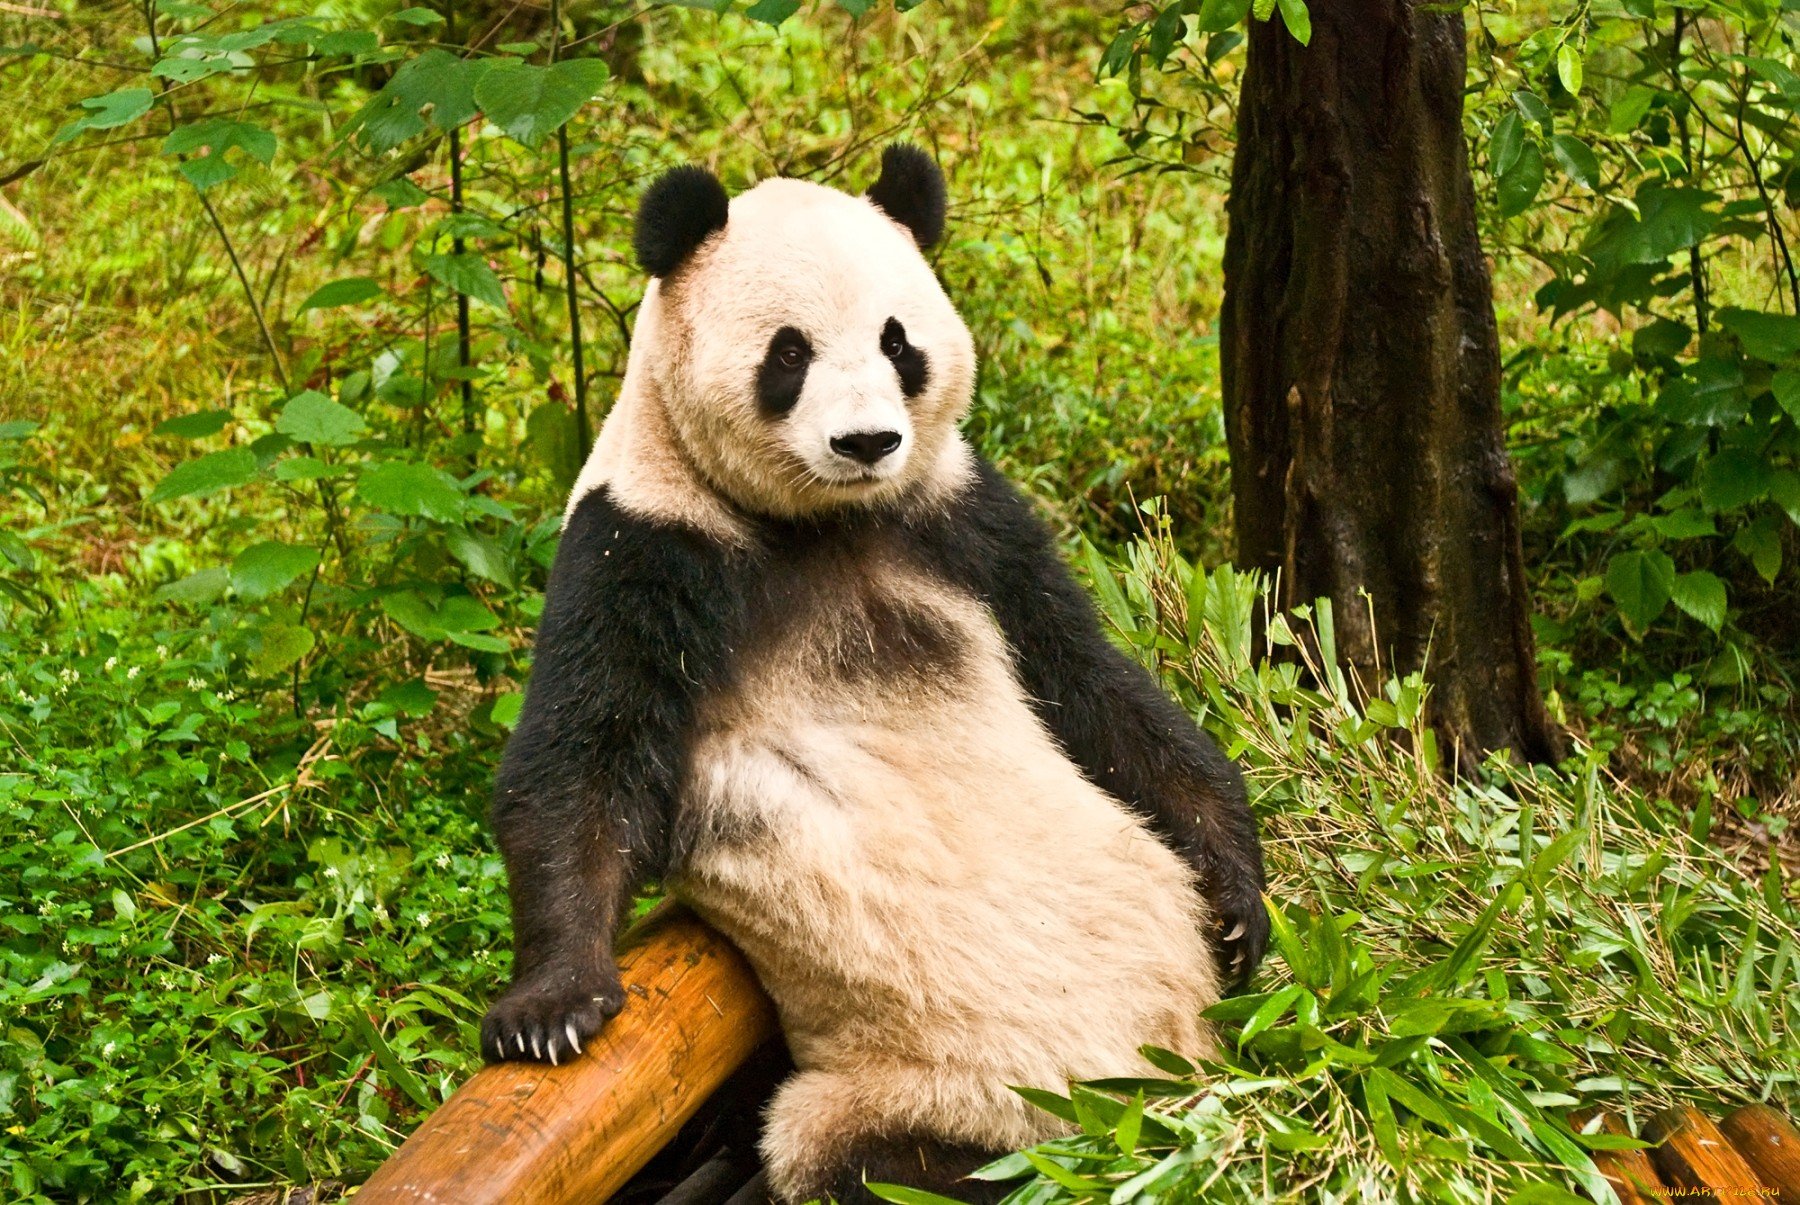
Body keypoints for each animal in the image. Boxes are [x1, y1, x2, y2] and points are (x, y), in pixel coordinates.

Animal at [482, 144, 1268, 1205]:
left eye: (899, 343)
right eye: (789, 354)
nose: (866, 442)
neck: (822, 521)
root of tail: (1141, 1113)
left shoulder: (960, 519)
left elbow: (1090, 683)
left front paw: (1238, 904)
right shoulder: (644, 541)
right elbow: (583, 765)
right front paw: (551, 1004)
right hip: (932, 1092)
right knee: (871, 1161)